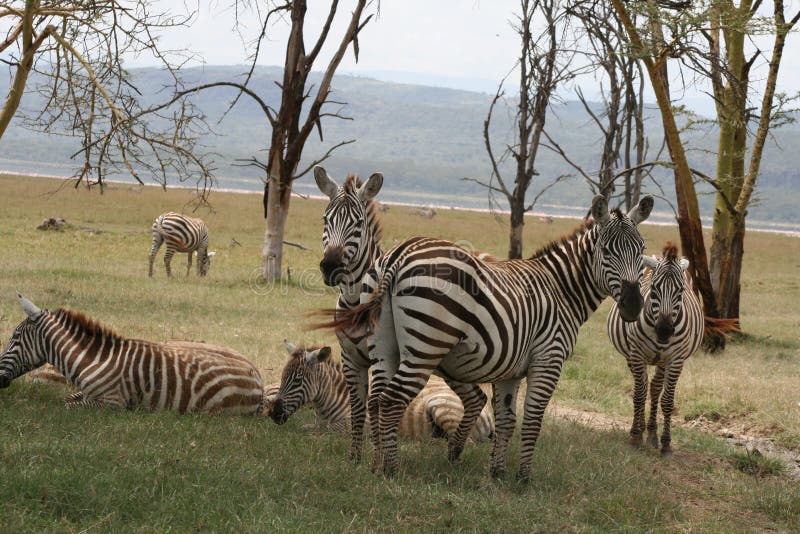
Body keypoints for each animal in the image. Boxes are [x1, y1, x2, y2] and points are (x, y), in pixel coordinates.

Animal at [0, 294, 264, 415]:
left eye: (15, 338)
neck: (91, 360)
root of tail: (257, 377)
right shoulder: (85, 394)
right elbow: (66, 399)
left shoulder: (110, 403)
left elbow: (63, 406)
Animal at [270, 341, 494, 442]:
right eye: (282, 377)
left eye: (297, 380)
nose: (273, 413)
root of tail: (489, 417)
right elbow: (307, 427)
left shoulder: (360, 425)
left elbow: (325, 431)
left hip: (442, 408)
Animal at [332, 194, 653, 480]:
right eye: (607, 251)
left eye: (641, 250)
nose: (633, 305)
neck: (561, 290)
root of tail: (398, 255)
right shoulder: (548, 359)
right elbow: (532, 420)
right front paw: (523, 479)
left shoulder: (509, 369)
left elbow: (507, 420)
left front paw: (497, 473)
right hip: (426, 345)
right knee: (391, 400)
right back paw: (390, 469)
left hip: (383, 346)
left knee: (376, 400)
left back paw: (375, 464)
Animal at [607, 242, 704, 457]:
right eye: (653, 288)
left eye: (681, 290)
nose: (664, 330)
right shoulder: (637, 354)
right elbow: (638, 395)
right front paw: (635, 437)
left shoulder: (676, 360)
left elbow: (666, 400)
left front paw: (666, 443)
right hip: (632, 356)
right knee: (642, 386)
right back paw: (640, 429)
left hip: (662, 361)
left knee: (654, 388)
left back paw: (651, 433)